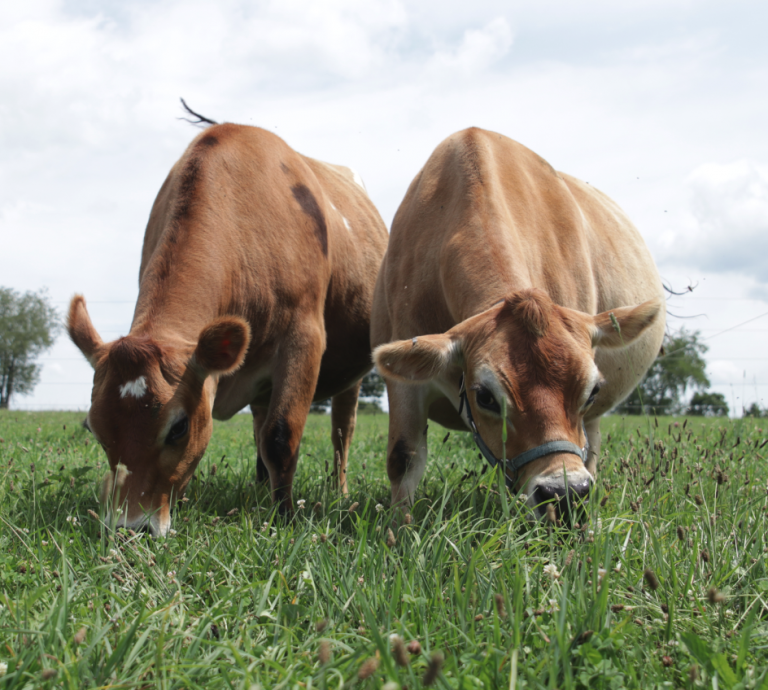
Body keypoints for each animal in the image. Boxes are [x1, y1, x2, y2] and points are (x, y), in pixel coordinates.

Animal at [68, 122, 388, 536]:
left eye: (178, 427)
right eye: (93, 427)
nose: (131, 527)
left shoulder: (304, 337)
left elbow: (282, 436)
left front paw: (284, 518)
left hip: (351, 374)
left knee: (340, 430)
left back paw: (339, 490)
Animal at [371, 127, 665, 521]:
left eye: (593, 390)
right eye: (485, 396)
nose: (566, 493)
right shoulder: (403, 378)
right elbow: (403, 459)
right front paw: (398, 530)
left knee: (592, 448)